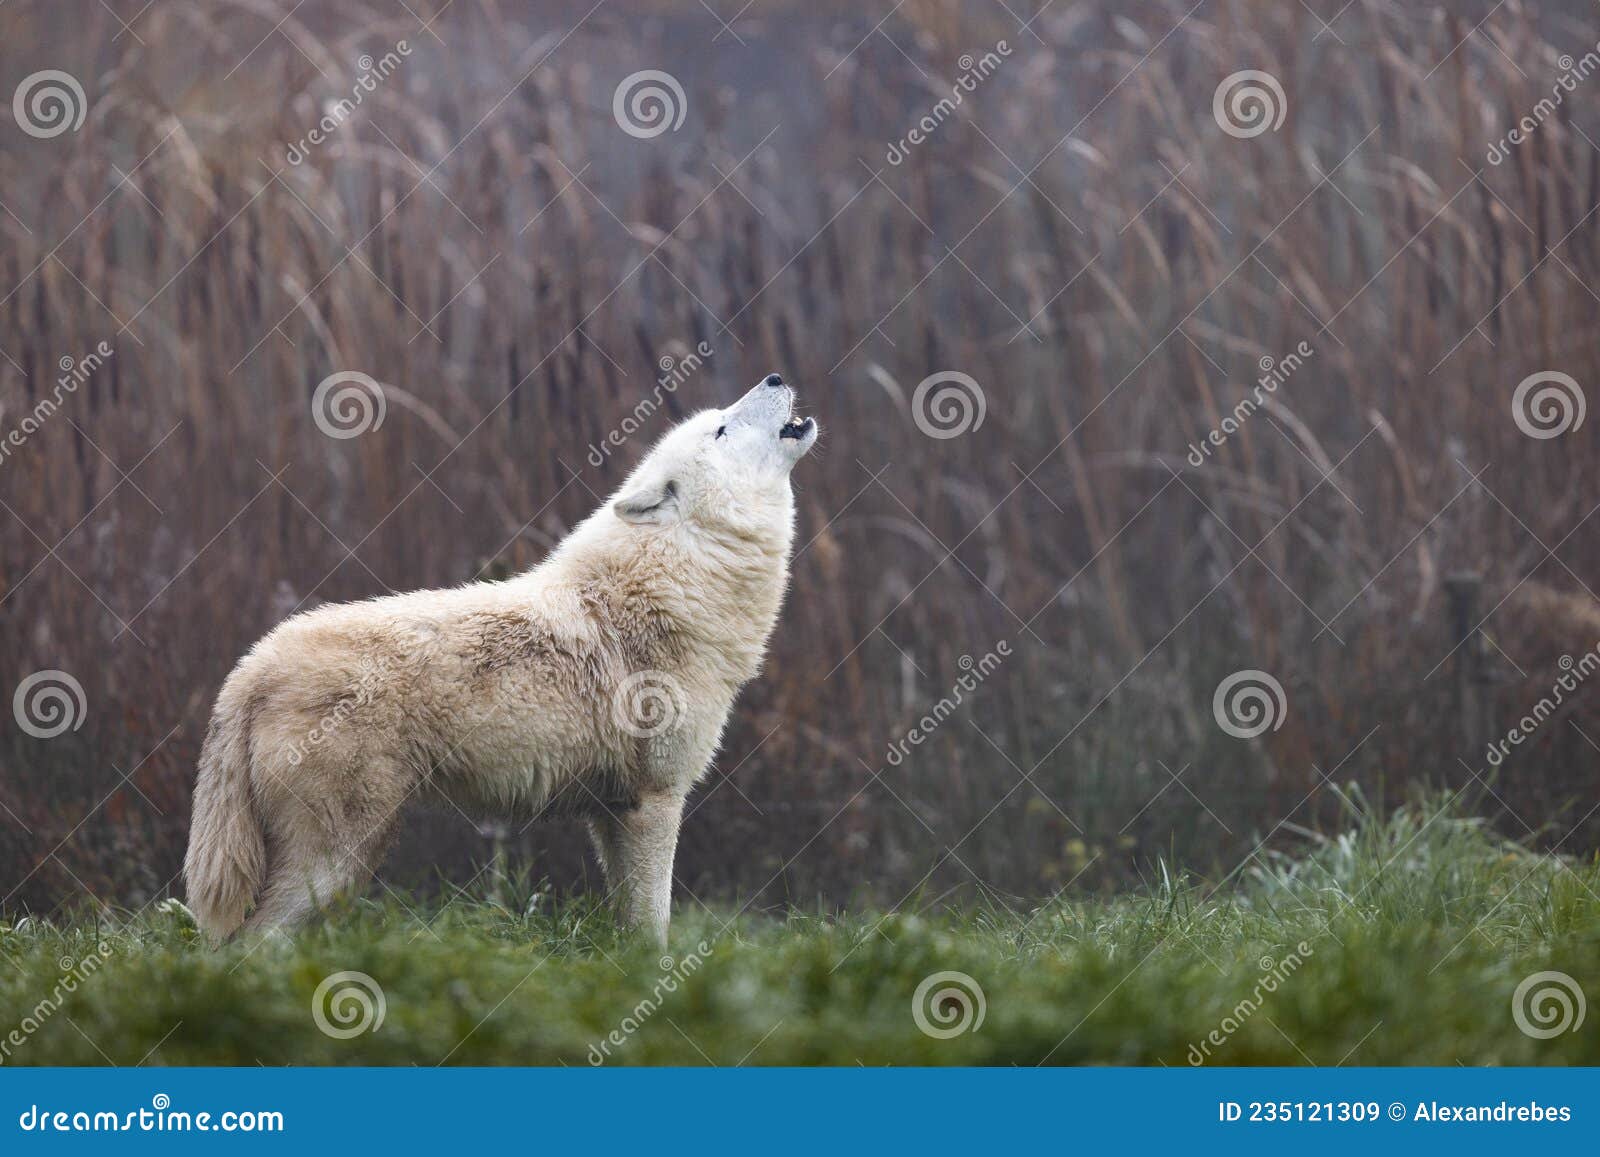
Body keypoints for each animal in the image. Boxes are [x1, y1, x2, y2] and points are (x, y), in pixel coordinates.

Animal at [183, 374, 817, 945]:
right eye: (721, 428)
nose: (775, 376)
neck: (674, 581)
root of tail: (250, 669)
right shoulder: (655, 802)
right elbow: (655, 926)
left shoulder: (612, 812)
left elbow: (629, 925)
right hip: (337, 860)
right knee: (252, 943)